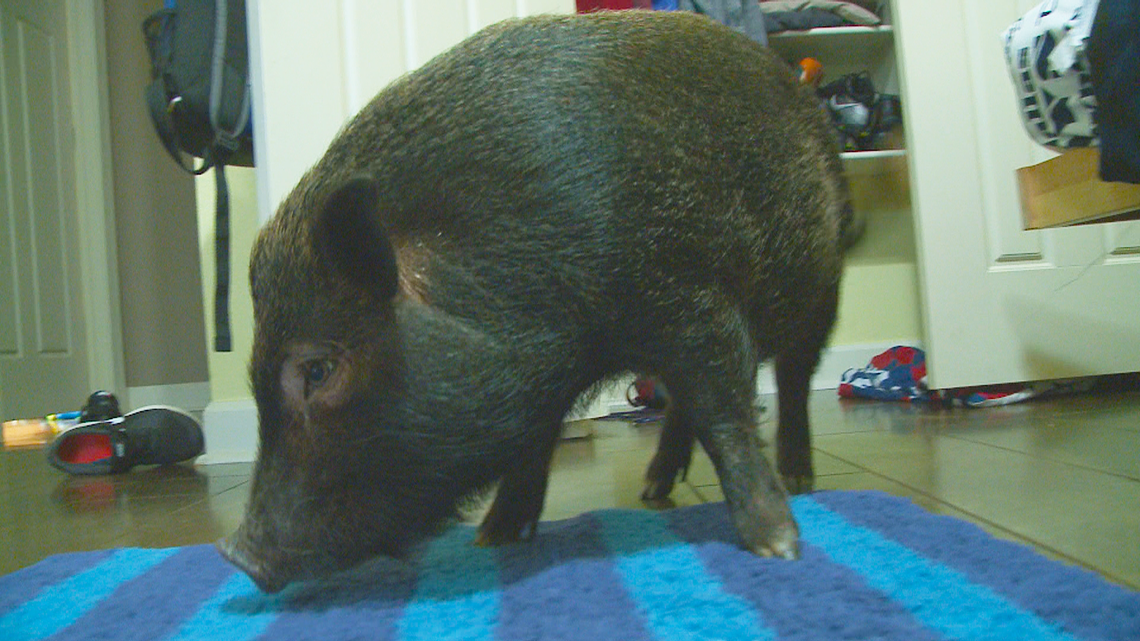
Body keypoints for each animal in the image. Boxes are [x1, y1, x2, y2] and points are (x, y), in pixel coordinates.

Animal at [219, 10, 853, 593]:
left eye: (317, 370)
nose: (234, 554)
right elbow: (539, 436)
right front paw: (495, 536)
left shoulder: (690, 299)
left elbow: (725, 414)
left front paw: (779, 547)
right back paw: (651, 489)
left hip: (823, 288)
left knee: (793, 378)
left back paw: (799, 481)